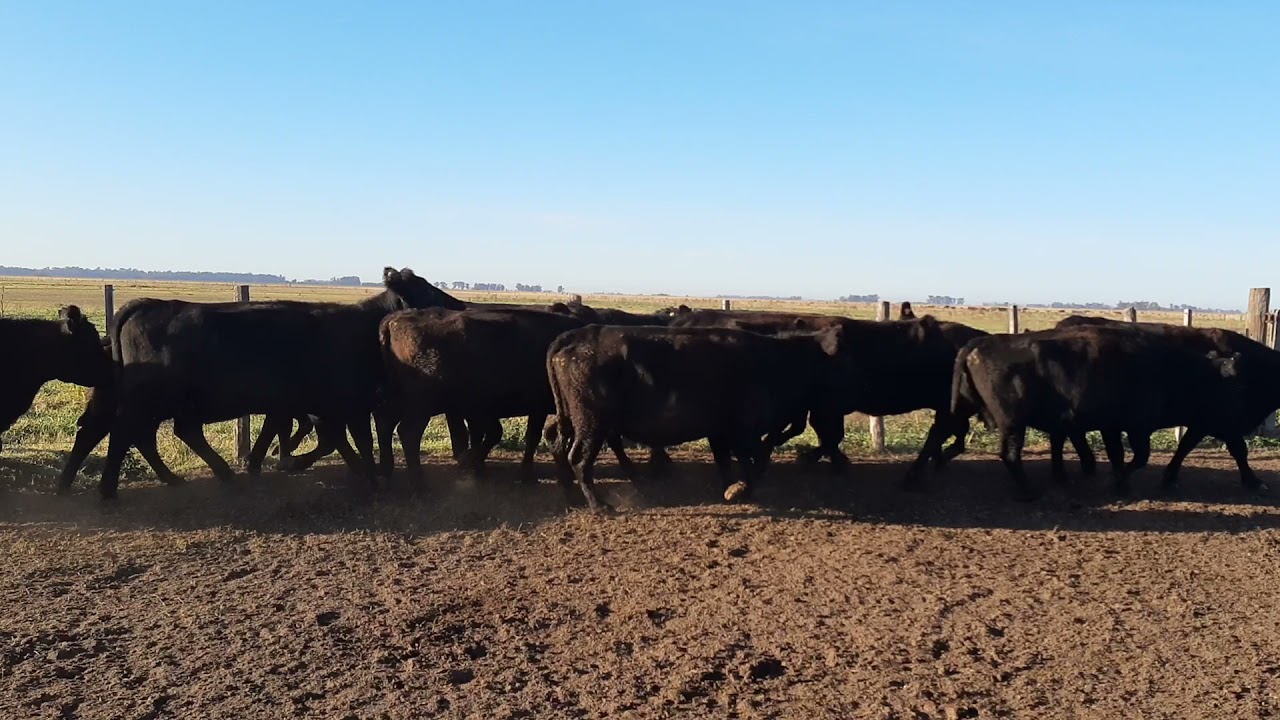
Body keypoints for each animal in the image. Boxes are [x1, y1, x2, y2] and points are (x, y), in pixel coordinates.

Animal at [90, 267, 462, 499]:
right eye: (427, 289)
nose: (460, 305)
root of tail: (146, 304)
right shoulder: (346, 403)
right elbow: (353, 440)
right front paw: (366, 474)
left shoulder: (311, 405)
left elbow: (318, 437)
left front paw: (273, 461)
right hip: (149, 399)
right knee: (128, 433)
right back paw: (110, 489)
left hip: (167, 403)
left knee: (161, 434)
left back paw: (193, 477)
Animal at [544, 324, 856, 513]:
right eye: (839, 362)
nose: (850, 397)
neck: (777, 361)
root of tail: (577, 335)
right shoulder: (743, 431)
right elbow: (758, 459)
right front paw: (740, 490)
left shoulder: (720, 431)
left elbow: (727, 461)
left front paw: (731, 488)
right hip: (591, 425)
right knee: (579, 459)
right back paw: (599, 506)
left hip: (575, 421)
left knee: (560, 449)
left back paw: (573, 497)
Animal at [951, 324, 1263, 500]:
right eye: (1234, 388)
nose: (1243, 418)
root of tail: (980, 344)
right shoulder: (1137, 428)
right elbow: (1139, 458)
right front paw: (1117, 480)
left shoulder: (1113, 426)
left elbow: (1119, 455)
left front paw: (1120, 482)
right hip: (1013, 424)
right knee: (1011, 455)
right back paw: (1029, 492)